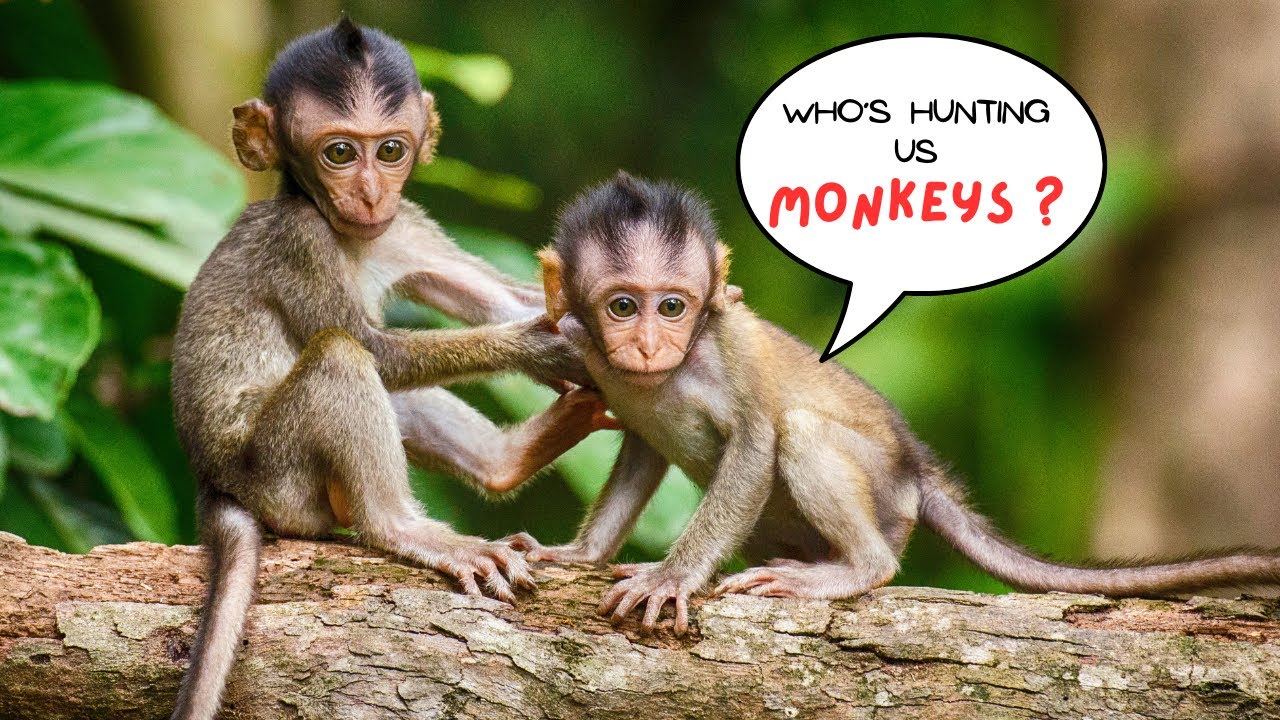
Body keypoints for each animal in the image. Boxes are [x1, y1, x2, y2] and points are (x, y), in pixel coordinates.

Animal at [168, 18, 613, 720]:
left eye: (391, 151)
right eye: (339, 153)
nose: (371, 192)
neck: (348, 233)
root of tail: (216, 484)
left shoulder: (404, 225)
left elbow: (496, 297)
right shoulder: (300, 240)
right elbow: (373, 350)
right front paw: (542, 348)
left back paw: (508, 460)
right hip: (279, 479)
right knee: (340, 357)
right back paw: (403, 528)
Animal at [506, 171, 1280, 636]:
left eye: (673, 306)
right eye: (623, 306)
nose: (647, 345)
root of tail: (916, 470)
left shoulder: (725, 346)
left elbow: (756, 441)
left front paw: (672, 576)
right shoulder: (590, 355)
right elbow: (640, 447)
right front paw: (579, 553)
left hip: (885, 494)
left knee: (802, 432)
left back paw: (857, 569)